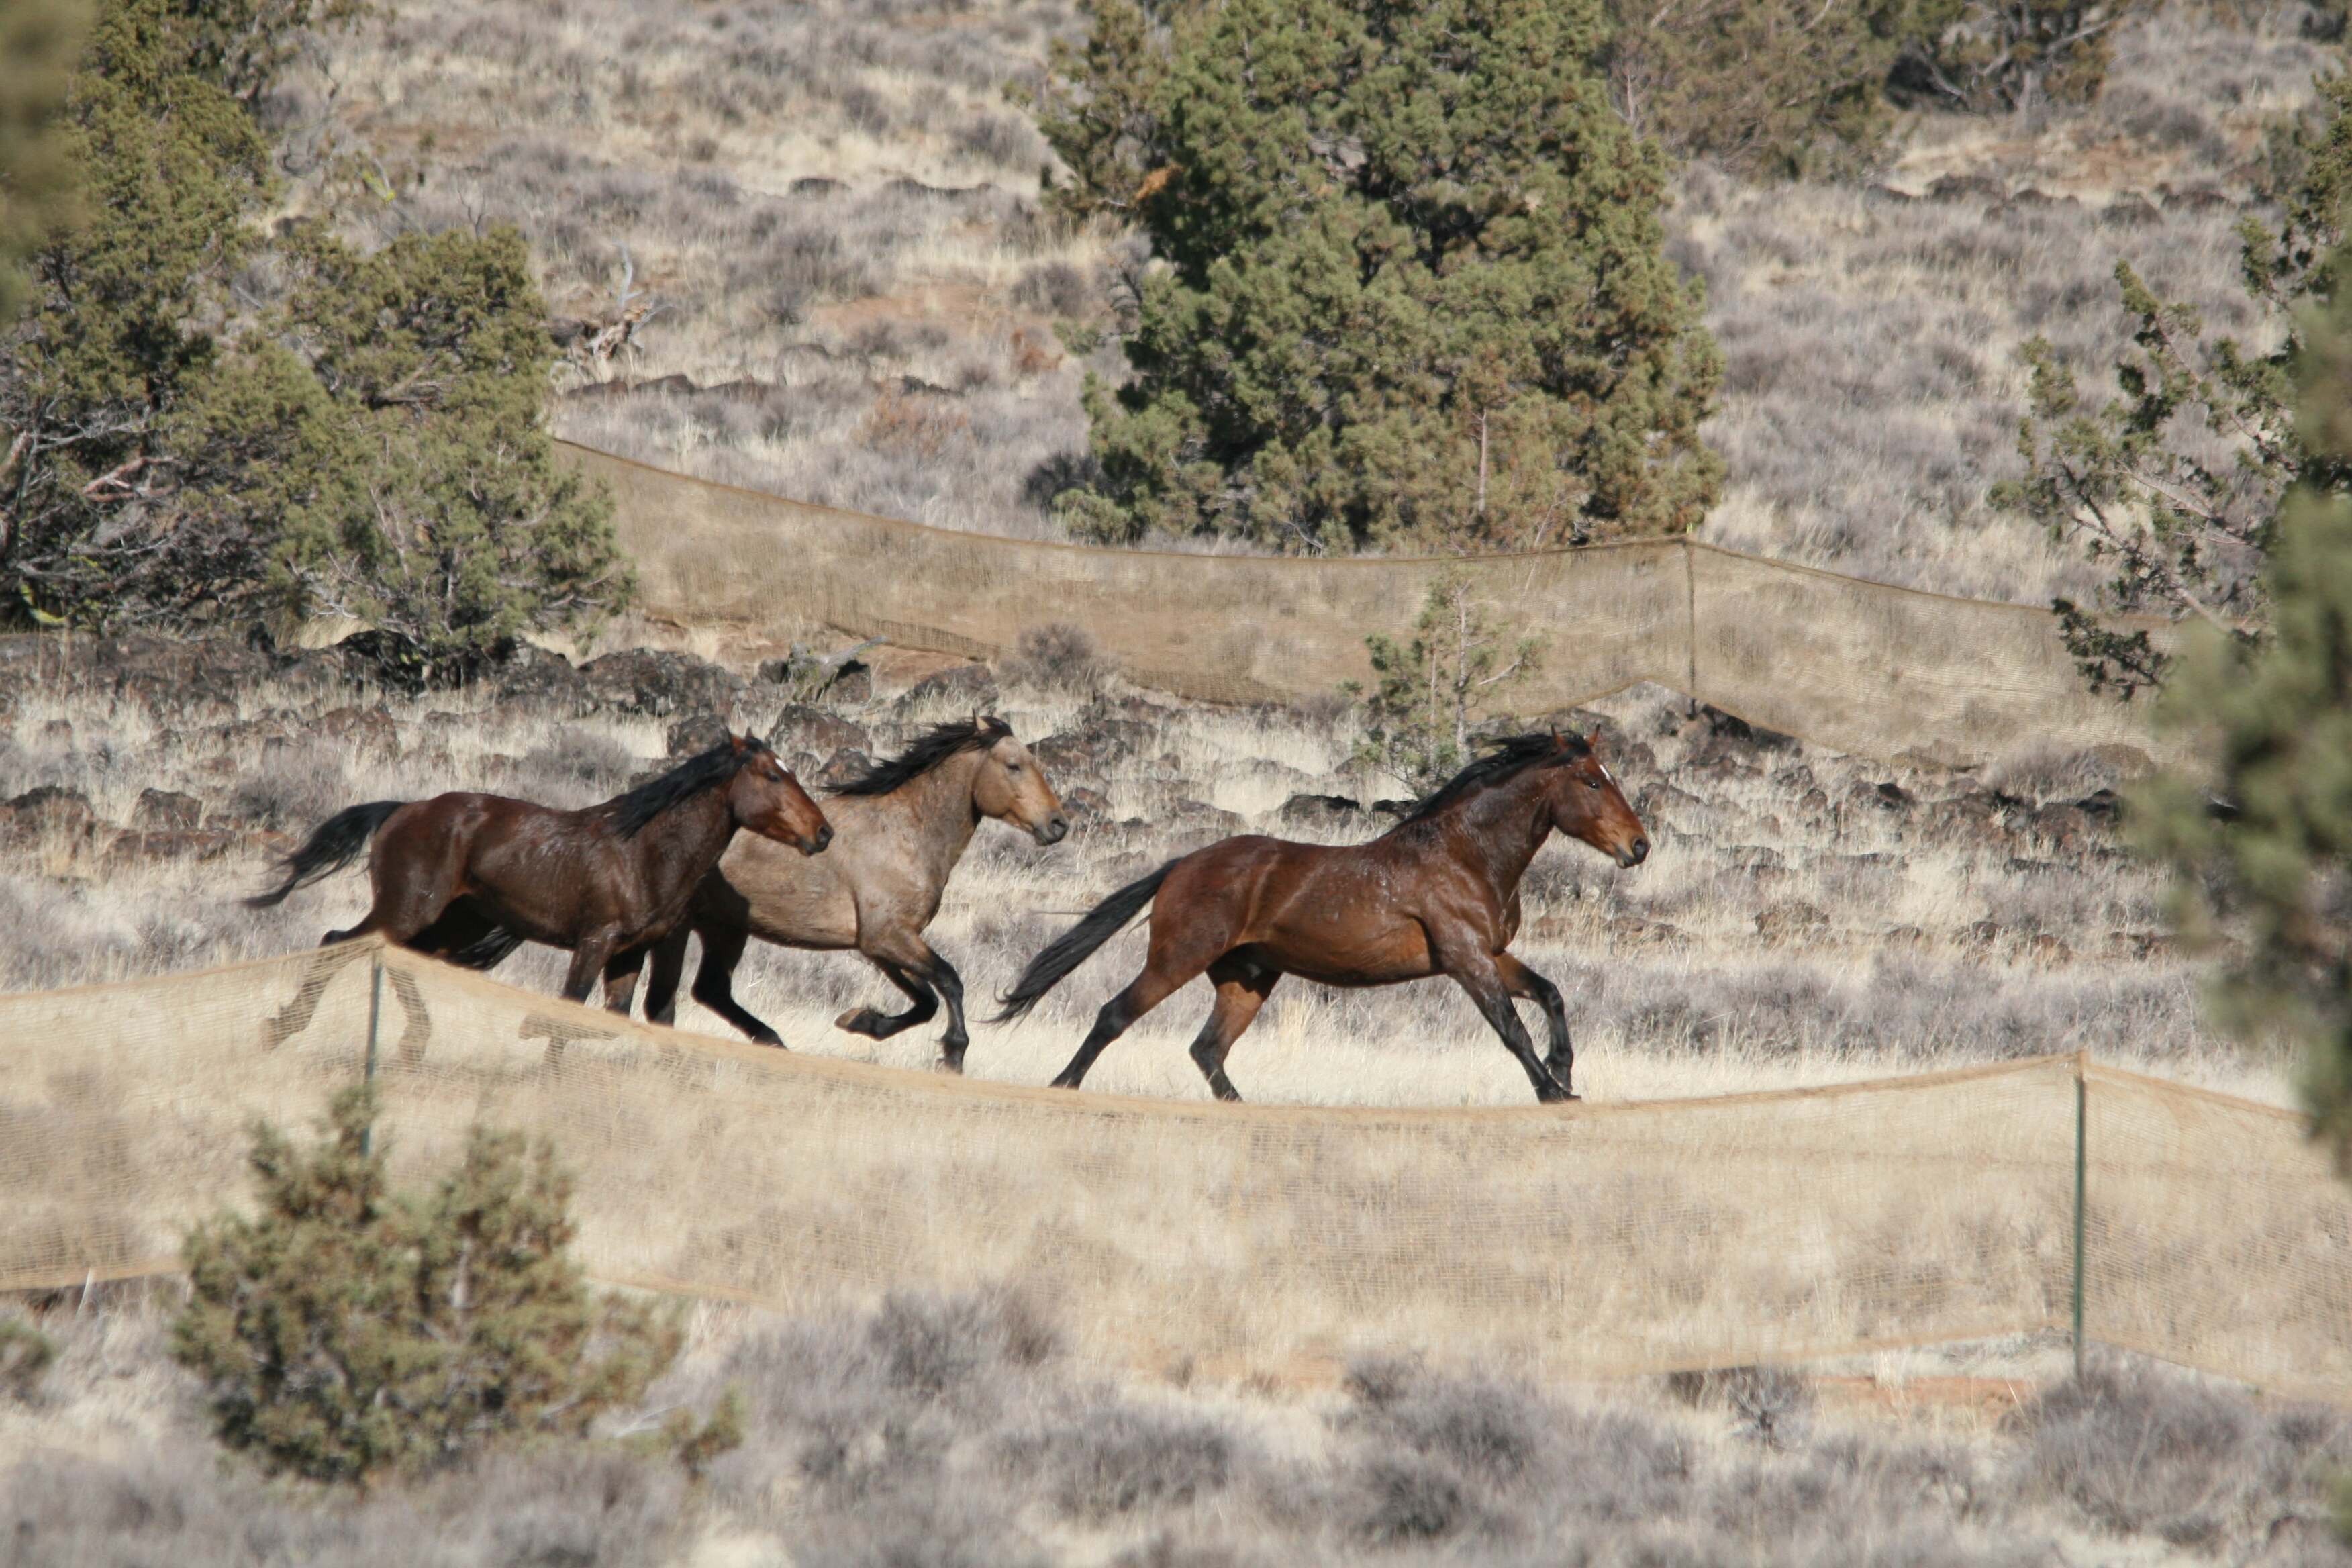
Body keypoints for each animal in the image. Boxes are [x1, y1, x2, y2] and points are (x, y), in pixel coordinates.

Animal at [248, 733, 833, 1008]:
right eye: (771, 776)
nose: (824, 832)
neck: (643, 851)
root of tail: (403, 810)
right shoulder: (594, 942)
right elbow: (569, 1010)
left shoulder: (629, 955)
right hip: (405, 911)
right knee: (334, 942)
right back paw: (283, 1030)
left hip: (454, 924)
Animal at [638, 715, 1069, 1069]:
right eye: (1014, 766)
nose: (1058, 824)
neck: (907, 832)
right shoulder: (887, 937)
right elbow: (950, 981)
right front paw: (953, 1054)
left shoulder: (881, 945)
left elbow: (926, 1001)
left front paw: (860, 1021)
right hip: (680, 930)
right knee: (666, 1004)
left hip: (725, 930)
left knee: (709, 990)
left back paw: (773, 1042)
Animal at [993, 730, 1647, 1104]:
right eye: (1591, 781)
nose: (1639, 846)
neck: (1466, 856)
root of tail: (1182, 865)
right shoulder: (1465, 960)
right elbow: (1511, 1028)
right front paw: (1552, 1091)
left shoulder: (1491, 954)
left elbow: (1551, 993)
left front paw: (1565, 1074)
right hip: (1178, 959)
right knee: (1116, 1015)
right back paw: (1064, 1086)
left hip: (1248, 978)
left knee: (1208, 1049)